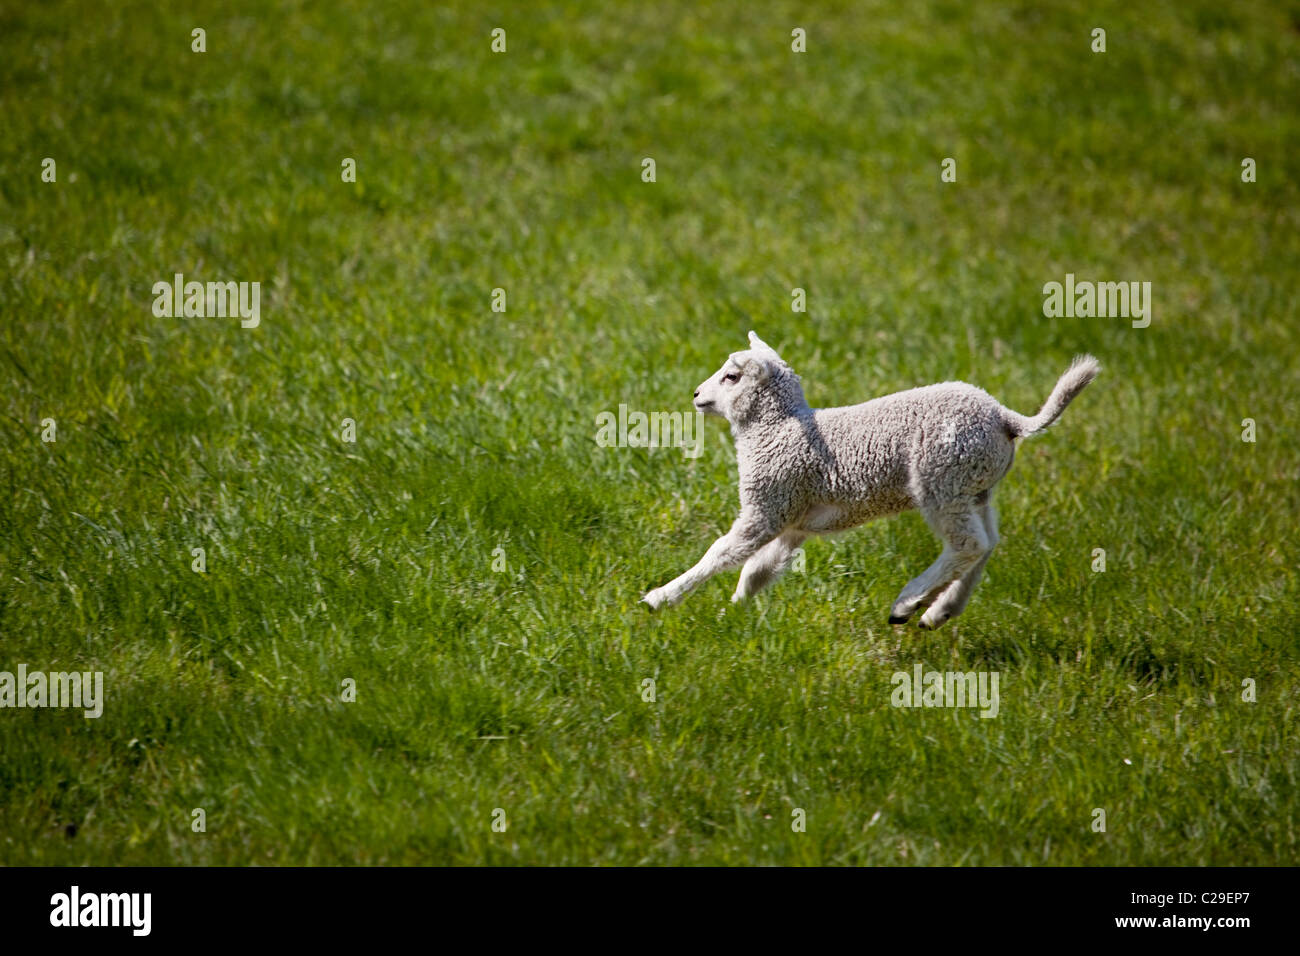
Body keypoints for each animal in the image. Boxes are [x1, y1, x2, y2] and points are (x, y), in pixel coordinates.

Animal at [641, 332, 1100, 629]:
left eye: (731, 377)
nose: (696, 395)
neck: (776, 427)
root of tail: (1007, 418)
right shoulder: (792, 521)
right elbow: (758, 570)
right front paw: (733, 610)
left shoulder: (768, 504)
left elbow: (722, 552)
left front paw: (661, 598)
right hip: (975, 486)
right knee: (986, 544)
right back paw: (938, 611)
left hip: (942, 480)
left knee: (969, 544)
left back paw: (908, 603)